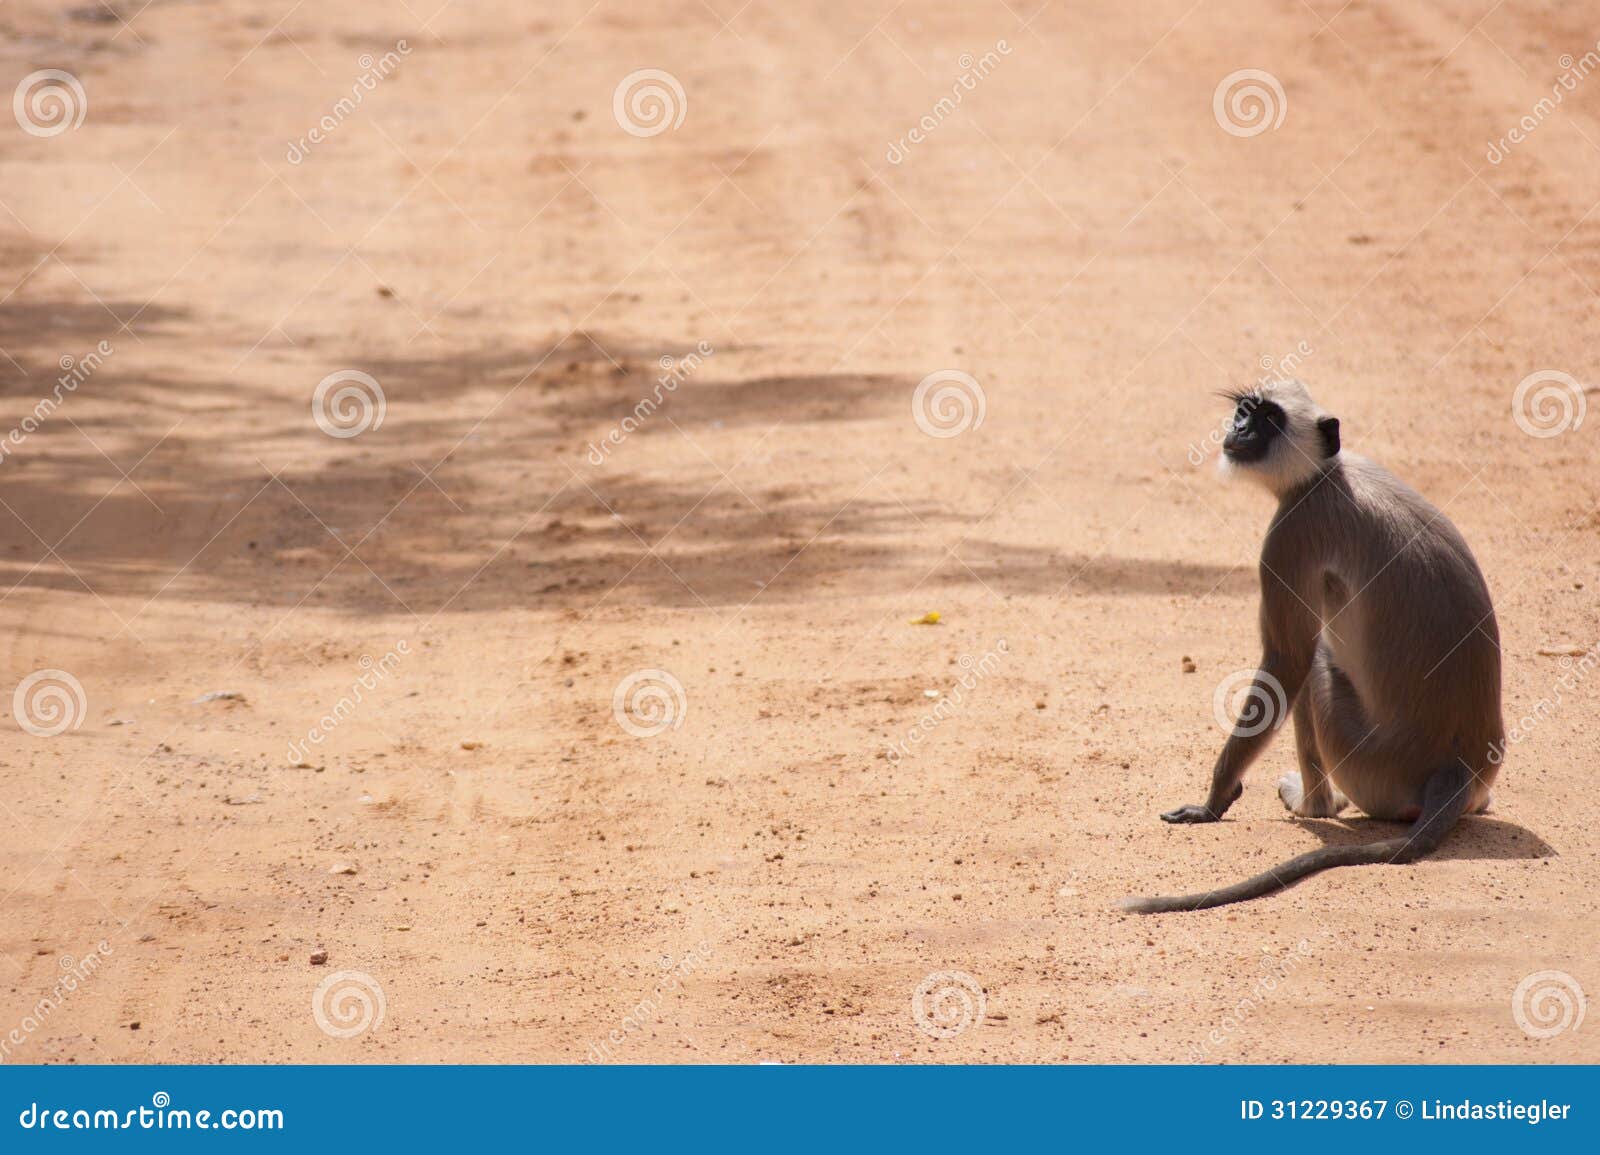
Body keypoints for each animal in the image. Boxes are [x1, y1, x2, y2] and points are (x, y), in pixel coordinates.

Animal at [1122, 379, 1503, 913]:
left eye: (1268, 419)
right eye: (1245, 411)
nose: (1239, 428)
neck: (1326, 476)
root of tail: (1454, 770)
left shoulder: (1291, 531)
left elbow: (1288, 662)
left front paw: (1213, 802)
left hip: (1368, 765)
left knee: (1312, 669)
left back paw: (1312, 805)